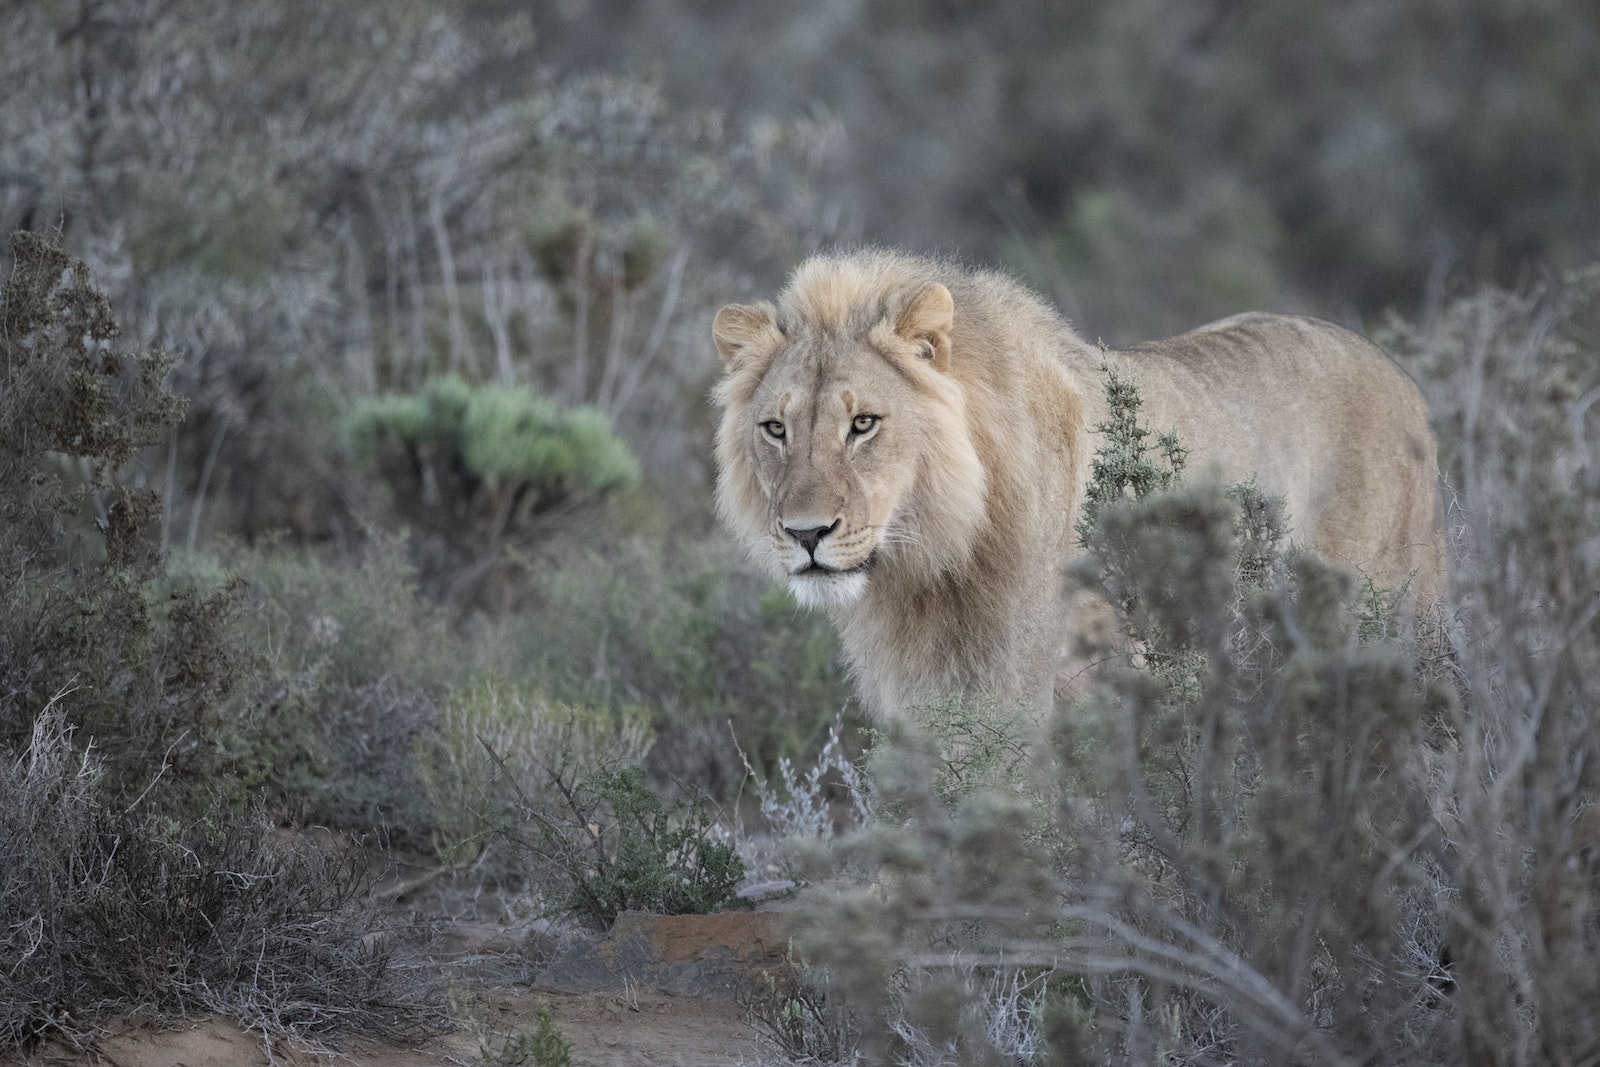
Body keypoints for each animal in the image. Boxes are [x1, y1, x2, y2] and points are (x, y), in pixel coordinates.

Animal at [711, 249, 1442, 718]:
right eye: (776, 429)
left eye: (863, 424)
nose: (806, 534)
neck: (931, 566)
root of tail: (1404, 378)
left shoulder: (1033, 688)